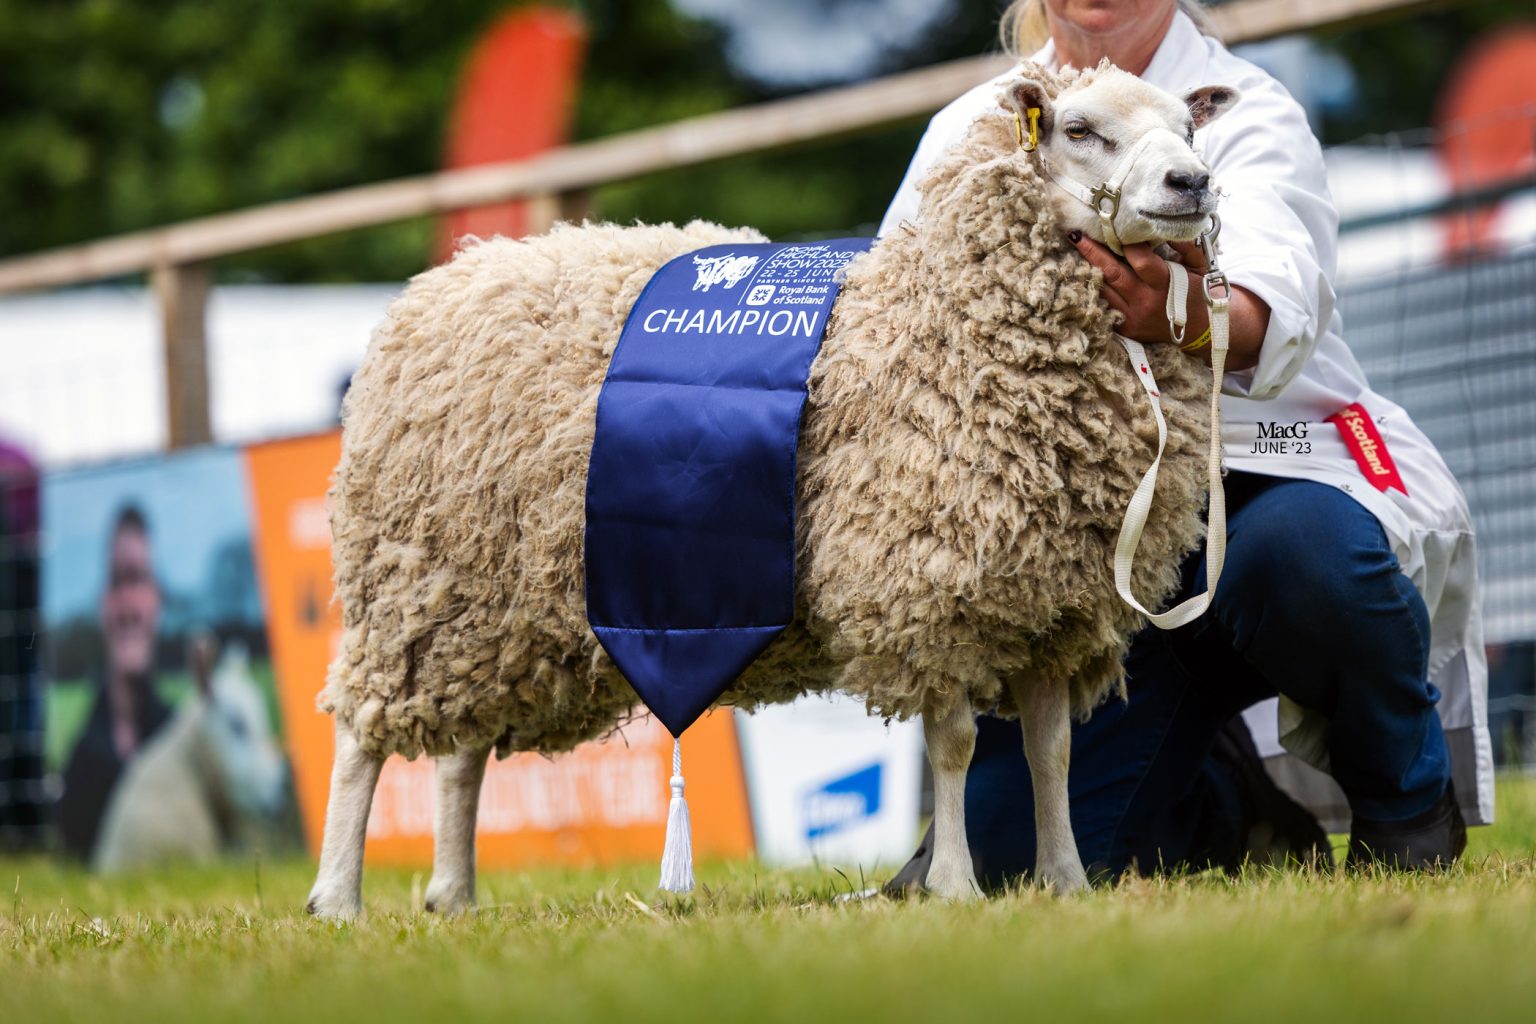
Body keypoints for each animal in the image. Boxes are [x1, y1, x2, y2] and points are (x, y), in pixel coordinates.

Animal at [305, 61, 1238, 920]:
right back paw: (338, 899)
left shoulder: (1054, 604)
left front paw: (1066, 883)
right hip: (415, 586)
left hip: (484, 603)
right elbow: (953, 746)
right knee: (360, 737)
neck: (936, 316)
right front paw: (955, 886)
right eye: (1079, 130)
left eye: (1189, 129)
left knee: (460, 751)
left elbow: (1052, 753)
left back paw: (453, 896)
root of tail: (449, 276)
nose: (1190, 183)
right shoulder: (925, 591)